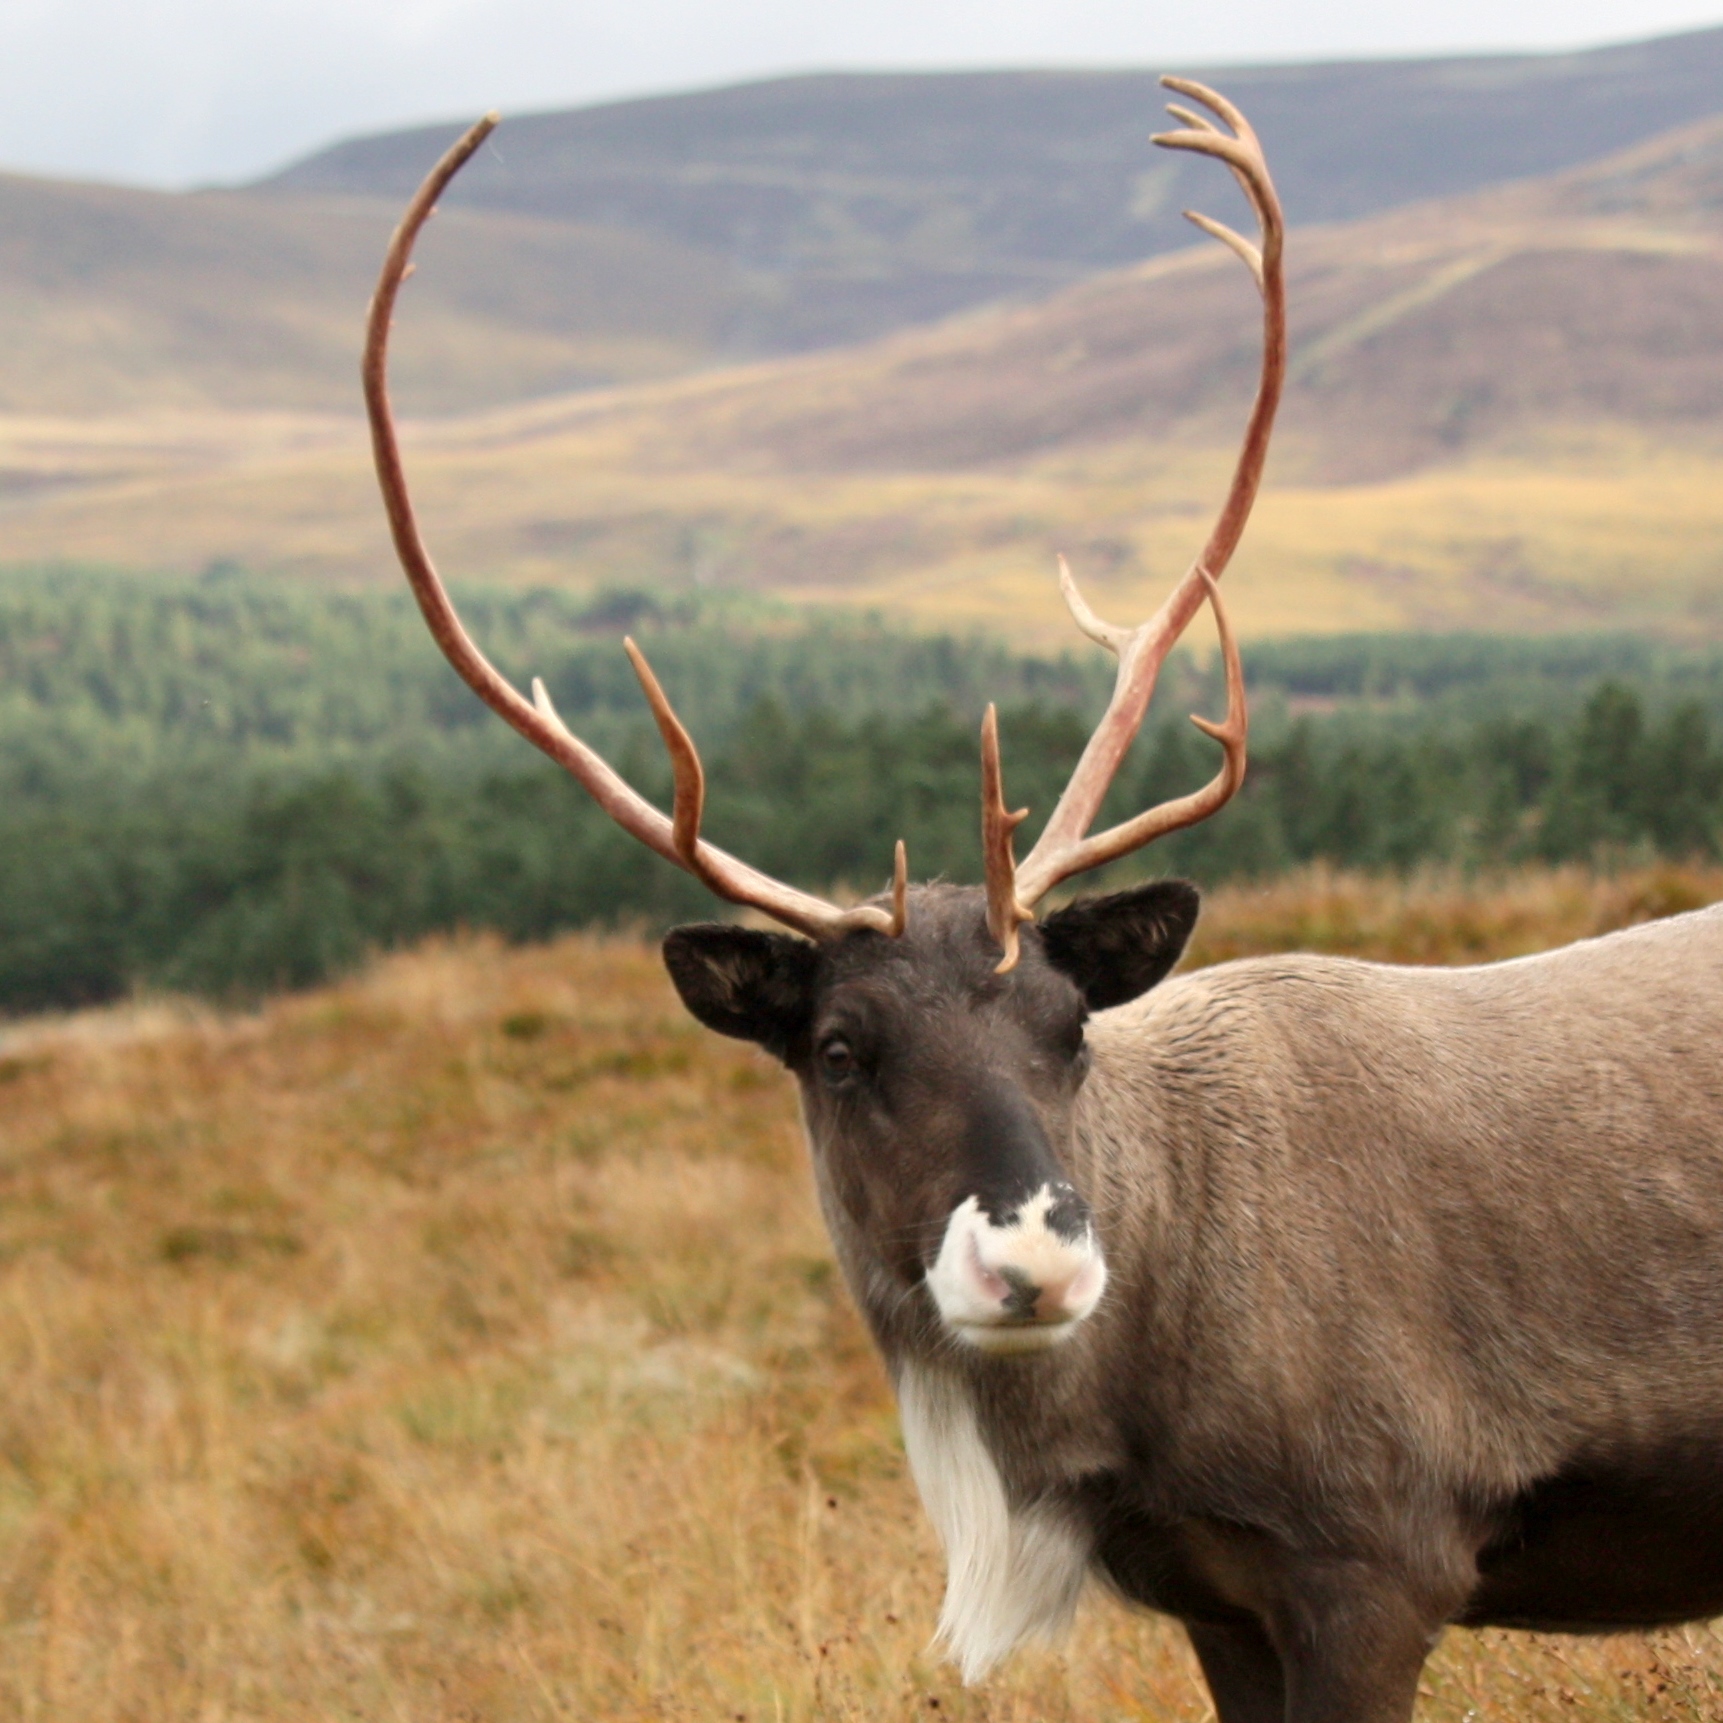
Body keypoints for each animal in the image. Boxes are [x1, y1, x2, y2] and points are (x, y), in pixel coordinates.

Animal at [362, 83, 1723, 1723]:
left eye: (1070, 1025)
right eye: (837, 1048)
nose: (1032, 1259)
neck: (1122, 1414)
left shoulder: (1373, 1558)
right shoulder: (1218, 1596)